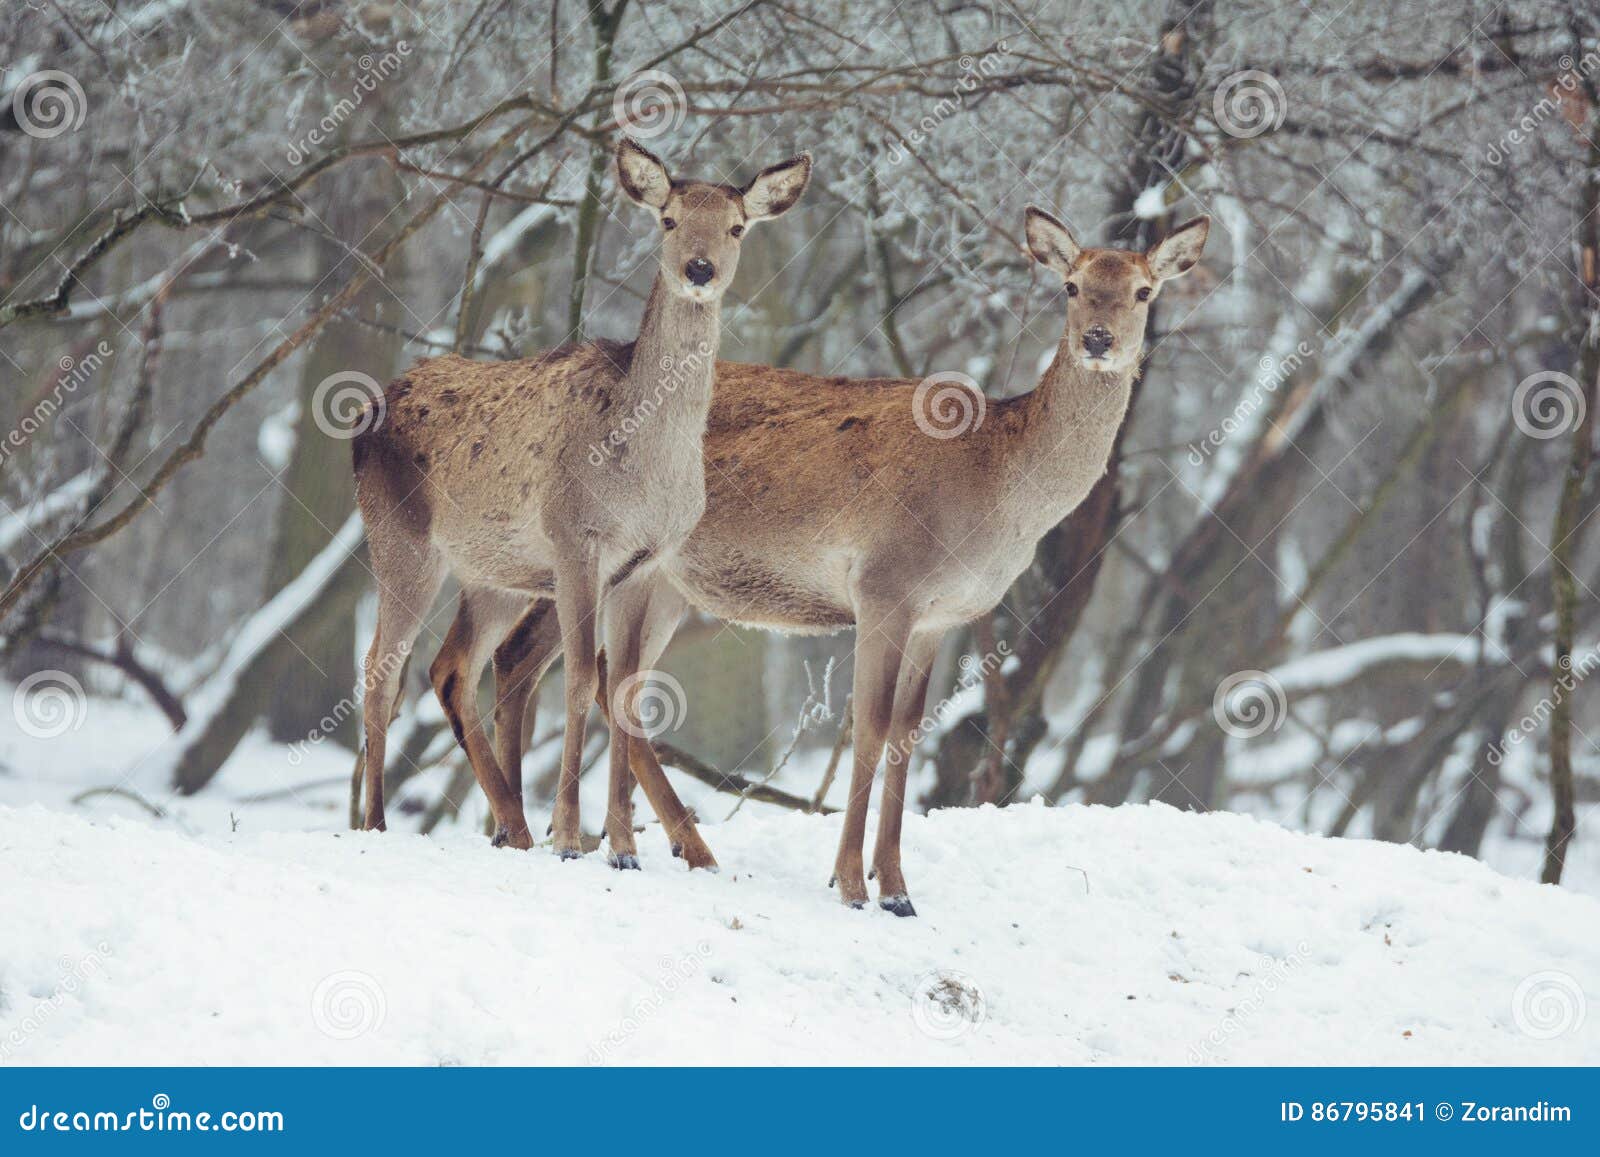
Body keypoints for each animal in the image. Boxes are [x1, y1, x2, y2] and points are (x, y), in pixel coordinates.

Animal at [351, 137, 812, 866]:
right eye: (668, 219)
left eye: (738, 226)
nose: (700, 268)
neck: (645, 470)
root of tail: (369, 413)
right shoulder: (576, 539)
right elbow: (577, 680)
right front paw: (571, 836)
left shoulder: (645, 562)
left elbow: (621, 691)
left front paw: (621, 845)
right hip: (400, 540)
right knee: (380, 669)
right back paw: (377, 823)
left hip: (495, 572)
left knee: (452, 666)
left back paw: (512, 826)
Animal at [484, 206, 1209, 913]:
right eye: (1072, 285)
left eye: (1144, 290)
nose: (1099, 340)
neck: (998, 493)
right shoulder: (887, 583)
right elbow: (869, 726)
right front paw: (852, 884)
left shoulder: (942, 615)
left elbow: (909, 734)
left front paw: (899, 889)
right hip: (607, 552)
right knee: (554, 663)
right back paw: (557, 833)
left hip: (664, 584)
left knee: (599, 677)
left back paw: (648, 842)